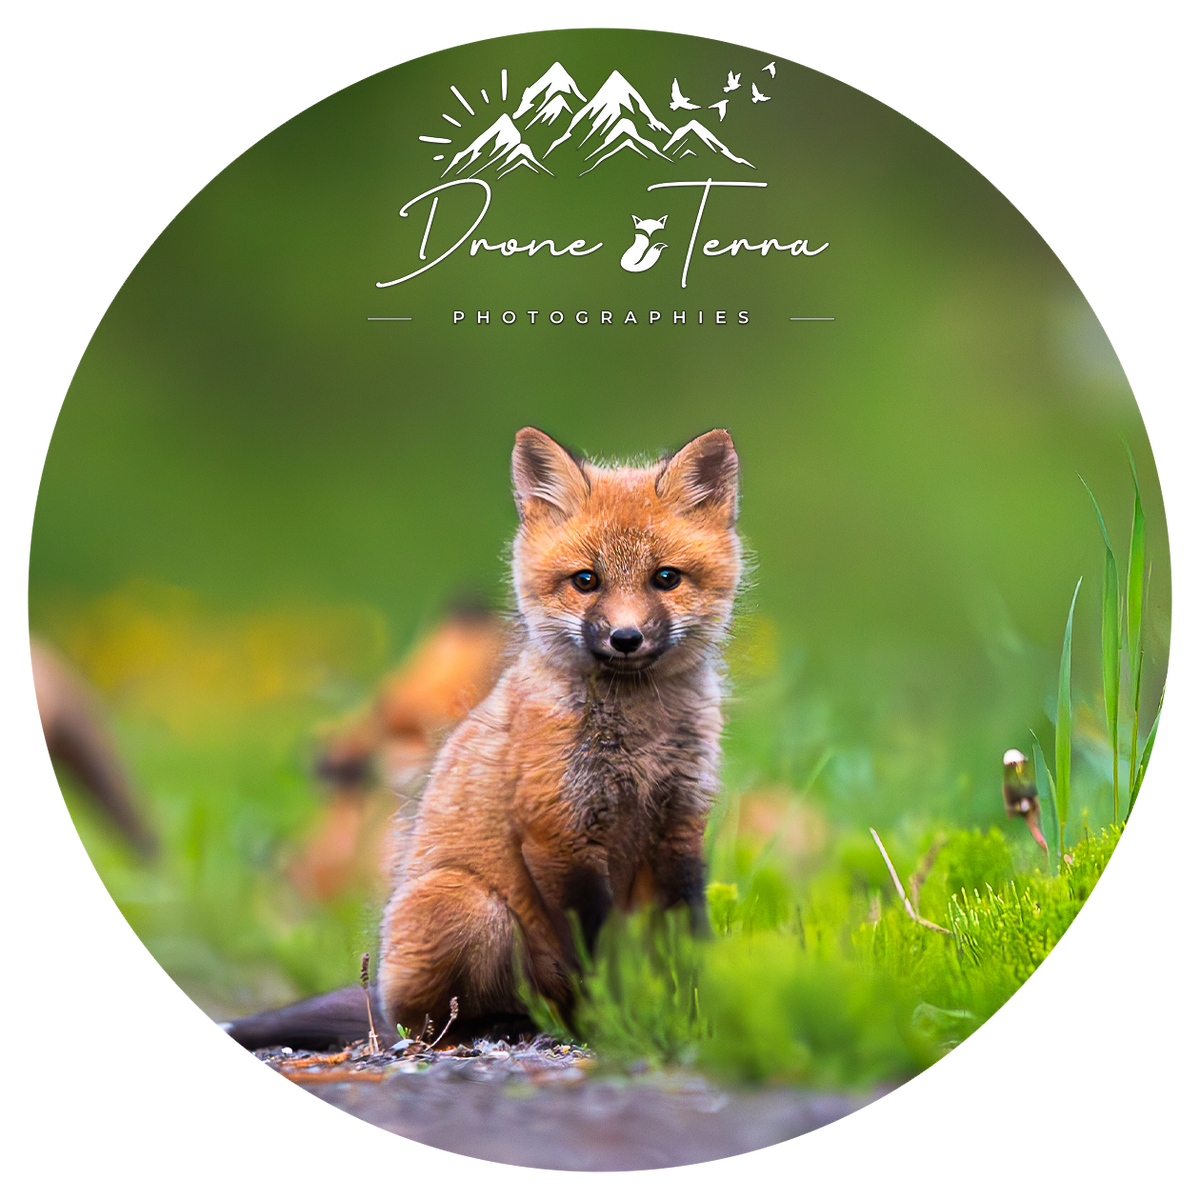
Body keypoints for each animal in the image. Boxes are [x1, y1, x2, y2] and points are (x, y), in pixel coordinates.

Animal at [220, 426, 741, 1049]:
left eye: (666, 578)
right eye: (586, 581)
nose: (625, 637)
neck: (641, 742)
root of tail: (382, 999)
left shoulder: (679, 826)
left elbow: (689, 944)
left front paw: (696, 1015)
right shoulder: (557, 833)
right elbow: (602, 957)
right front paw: (621, 1023)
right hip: (470, 909)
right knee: (433, 1025)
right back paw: (514, 1025)